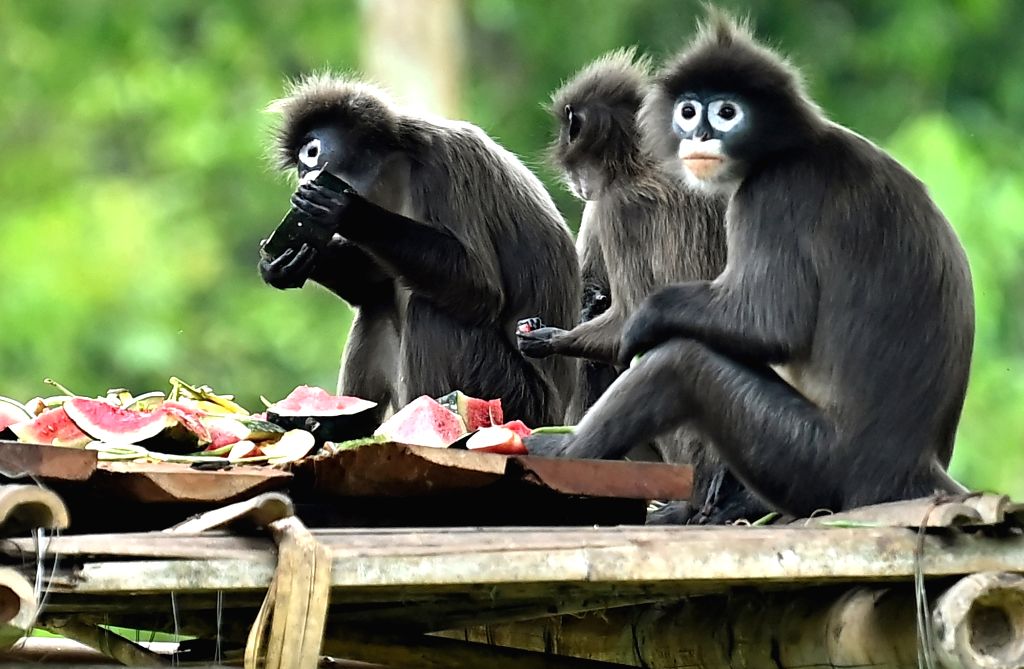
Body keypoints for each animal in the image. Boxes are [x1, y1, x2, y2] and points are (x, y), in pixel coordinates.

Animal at [258, 74, 580, 427]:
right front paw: (284, 263)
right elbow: (374, 283)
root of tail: (555, 415)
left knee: (432, 311)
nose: (304, 174)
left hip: (514, 396)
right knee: (377, 307)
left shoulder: (447, 163)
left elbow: (482, 288)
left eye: (312, 151)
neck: (396, 166)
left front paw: (347, 211)